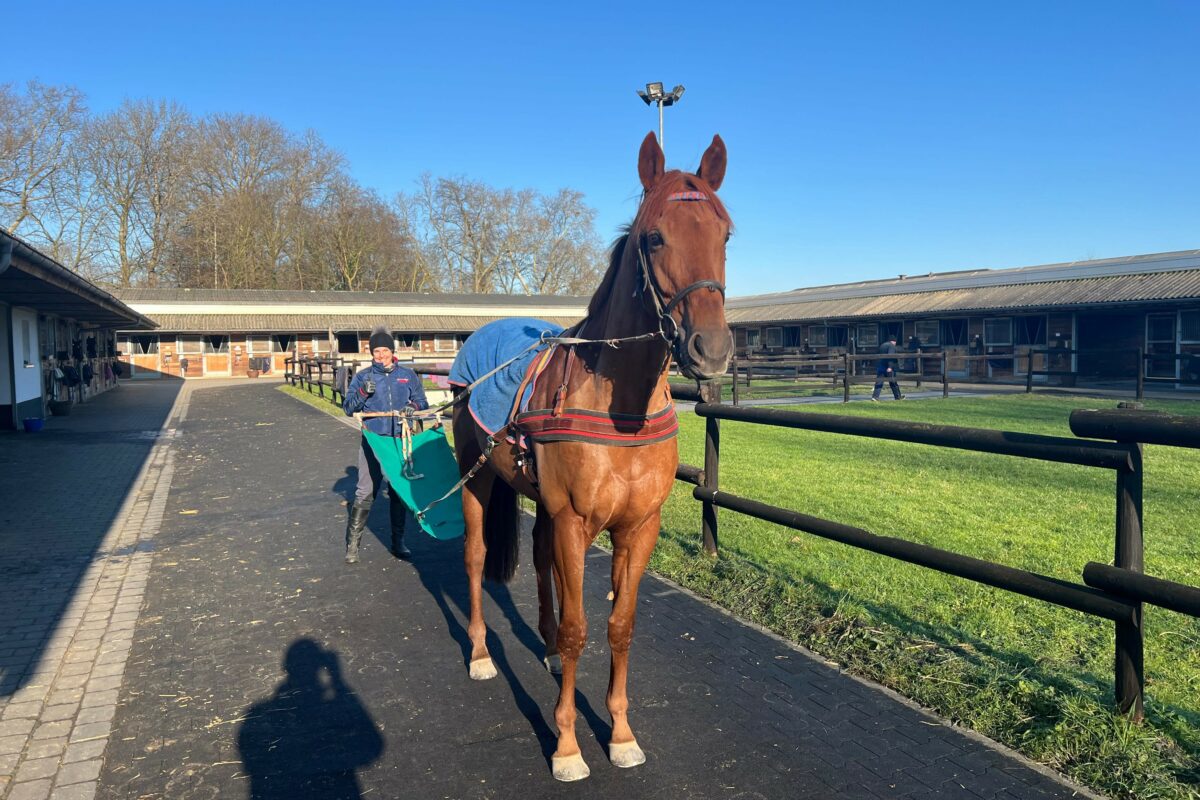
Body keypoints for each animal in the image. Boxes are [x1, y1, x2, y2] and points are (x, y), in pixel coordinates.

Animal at [451, 131, 733, 782]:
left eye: (726, 235)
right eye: (654, 237)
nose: (711, 349)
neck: (619, 412)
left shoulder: (638, 527)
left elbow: (620, 626)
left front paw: (622, 734)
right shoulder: (574, 523)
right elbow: (583, 628)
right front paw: (567, 744)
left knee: (537, 562)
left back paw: (548, 647)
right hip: (476, 481)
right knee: (475, 560)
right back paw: (479, 652)